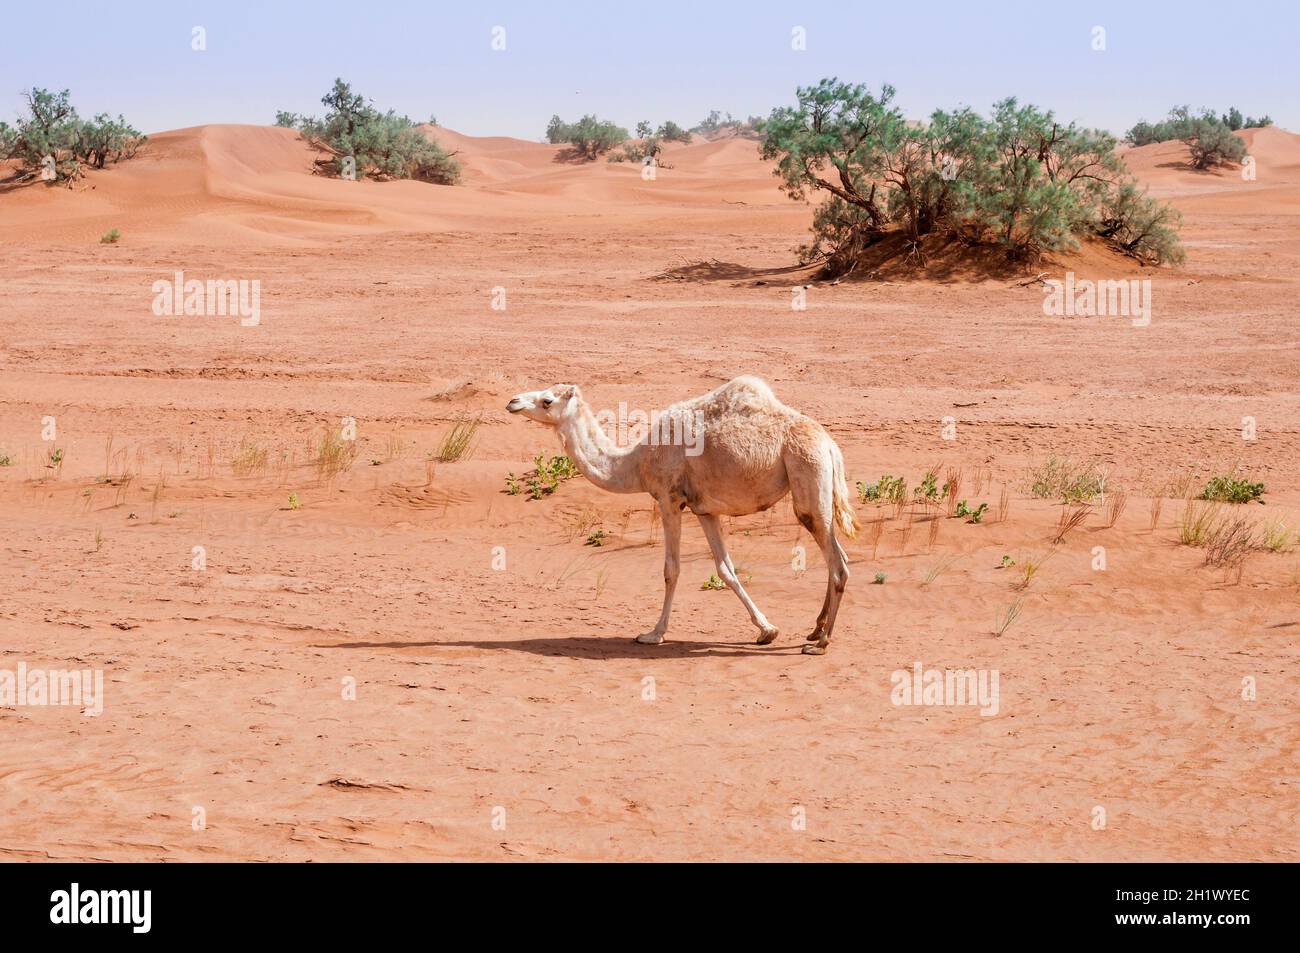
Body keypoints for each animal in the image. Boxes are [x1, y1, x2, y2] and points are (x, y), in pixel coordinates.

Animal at [506, 376, 859, 654]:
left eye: (548, 400)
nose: (513, 401)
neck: (636, 462)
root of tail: (830, 445)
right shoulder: (705, 510)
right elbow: (726, 569)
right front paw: (766, 630)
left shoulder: (669, 499)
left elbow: (671, 570)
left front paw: (653, 634)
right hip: (815, 480)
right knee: (837, 556)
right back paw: (815, 629)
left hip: (806, 470)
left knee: (837, 562)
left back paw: (821, 643)